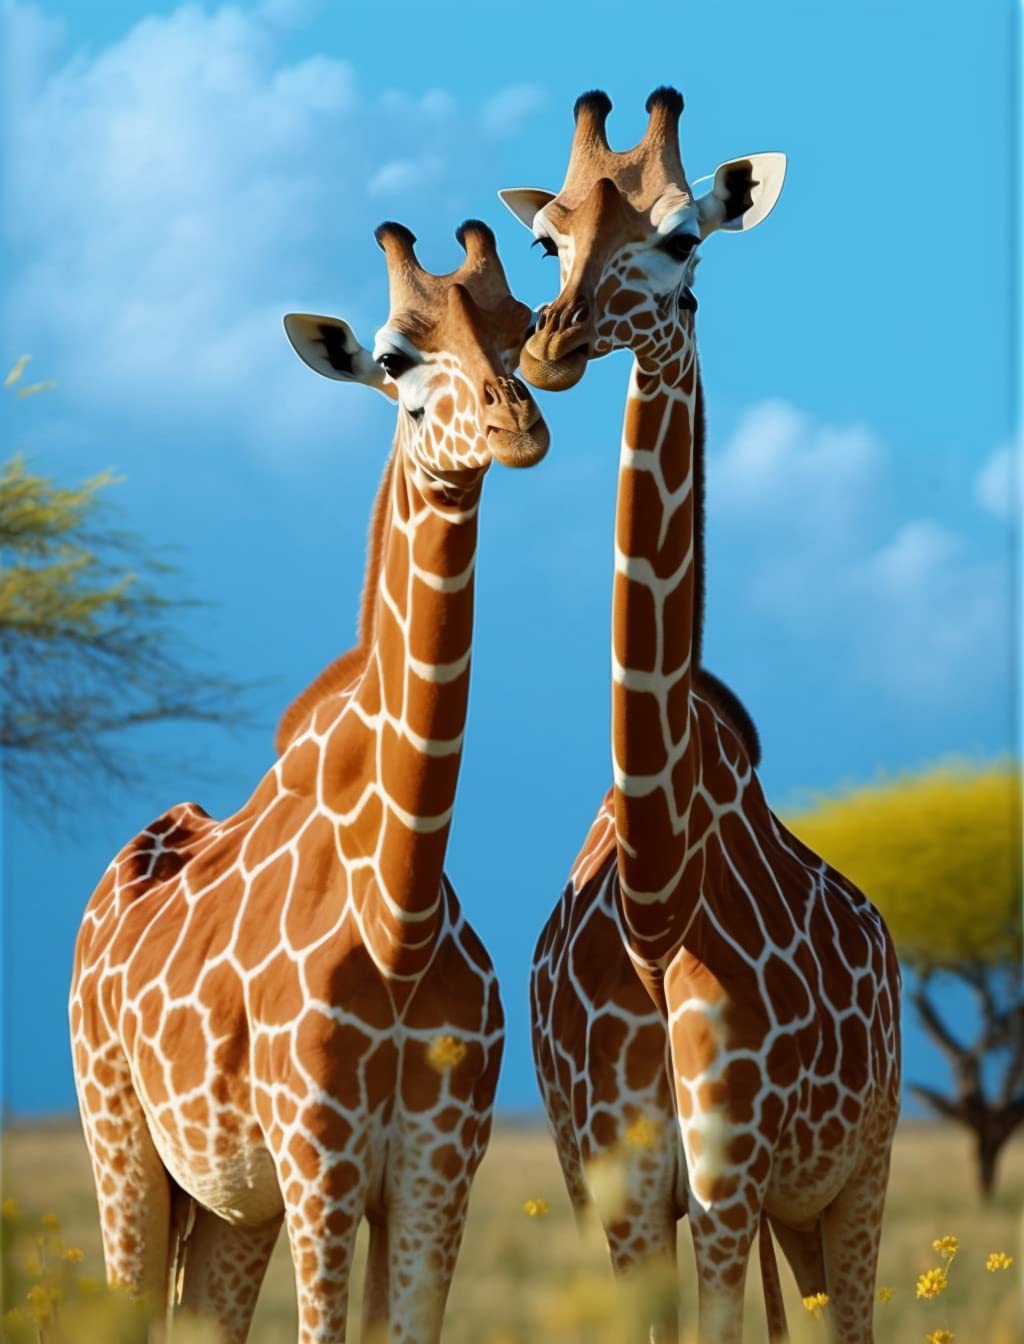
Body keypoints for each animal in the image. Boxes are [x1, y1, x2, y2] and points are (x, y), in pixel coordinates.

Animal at [68, 217, 549, 1344]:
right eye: (393, 357)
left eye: (524, 326)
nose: (515, 425)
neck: (399, 917)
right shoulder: (319, 1160)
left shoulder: (436, 1173)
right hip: (124, 1143)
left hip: (227, 1202)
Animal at [501, 89, 901, 1344]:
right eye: (547, 237)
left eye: (683, 235)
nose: (548, 343)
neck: (653, 903)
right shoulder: (618, 1187)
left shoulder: (729, 1177)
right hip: (783, 1208)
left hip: (852, 1177)